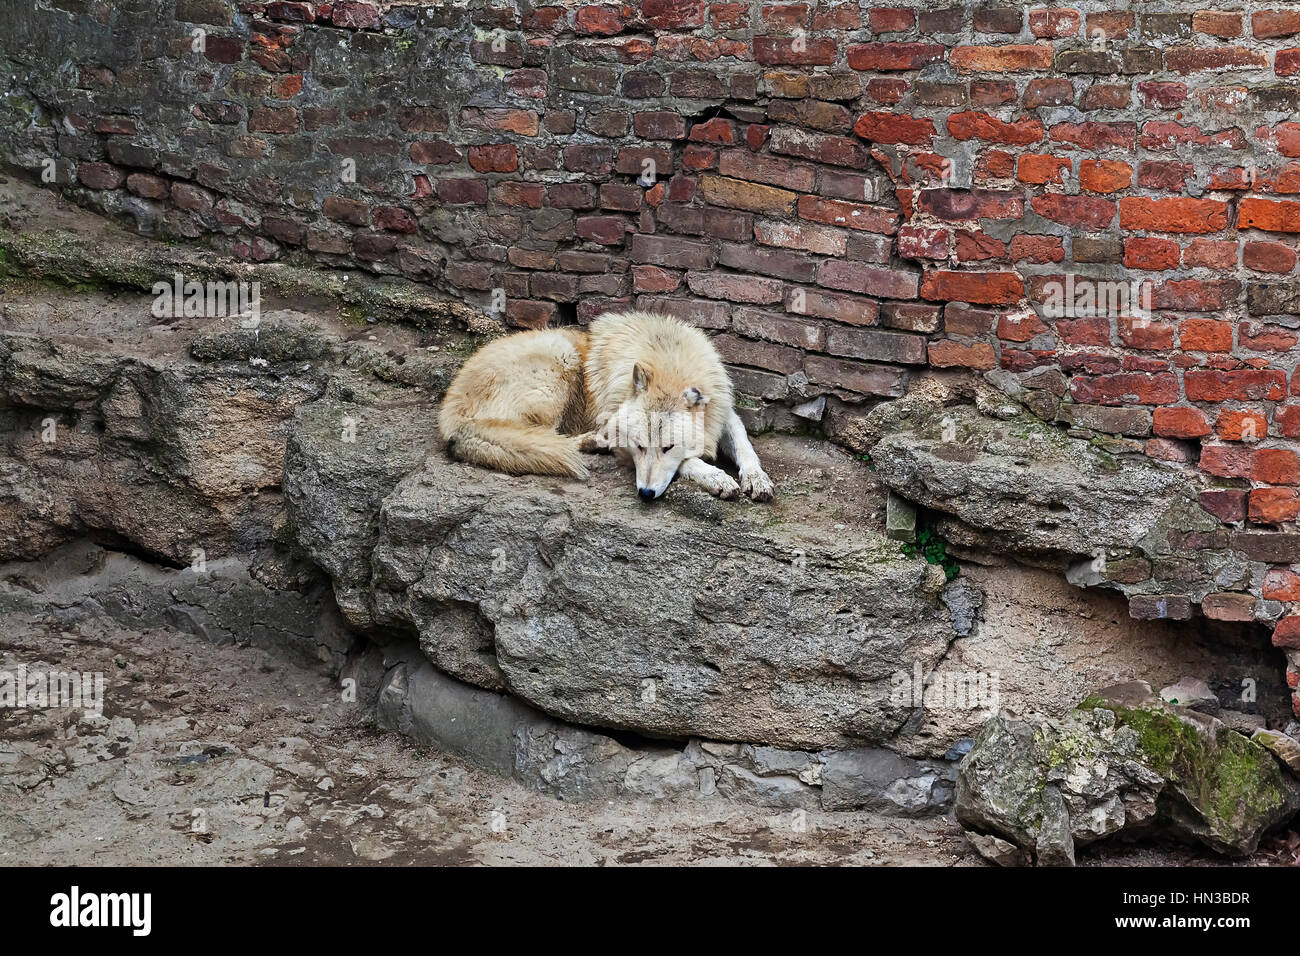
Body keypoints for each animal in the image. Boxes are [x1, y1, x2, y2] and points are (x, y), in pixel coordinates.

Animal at [438, 310, 774, 501]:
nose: (646, 494)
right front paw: (716, 477)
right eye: (638, 446)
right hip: (561, 356)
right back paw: (595, 441)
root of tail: (451, 414)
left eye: (667, 447)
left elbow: (744, 445)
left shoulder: (723, 410)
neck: (668, 360)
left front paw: (757, 478)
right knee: (542, 435)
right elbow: (688, 461)